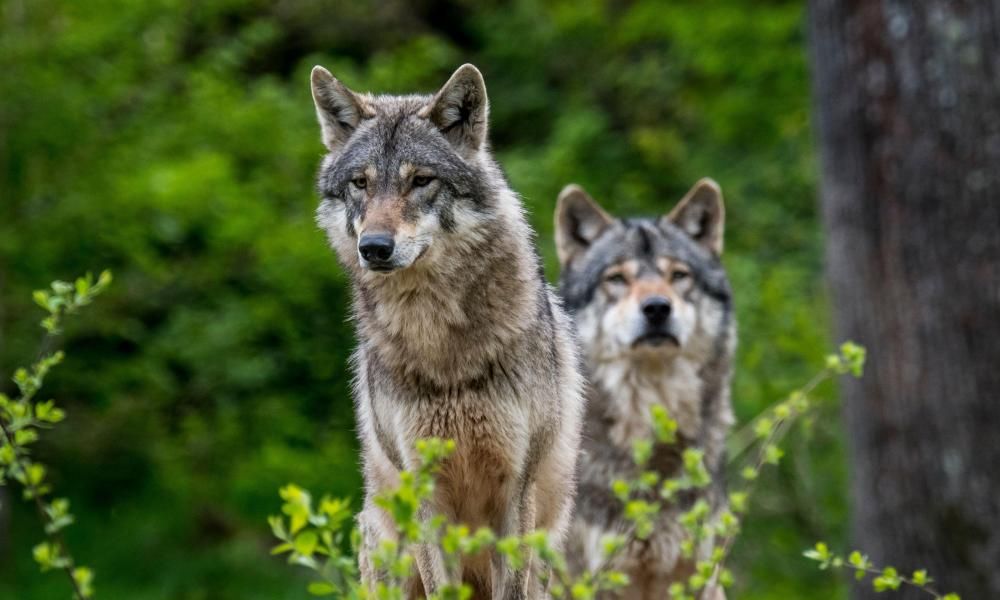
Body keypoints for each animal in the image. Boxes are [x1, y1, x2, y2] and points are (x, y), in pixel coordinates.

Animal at [309, 64, 585, 599]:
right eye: (360, 183)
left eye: (421, 180)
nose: (374, 247)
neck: (442, 349)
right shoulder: (424, 494)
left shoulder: (514, 488)